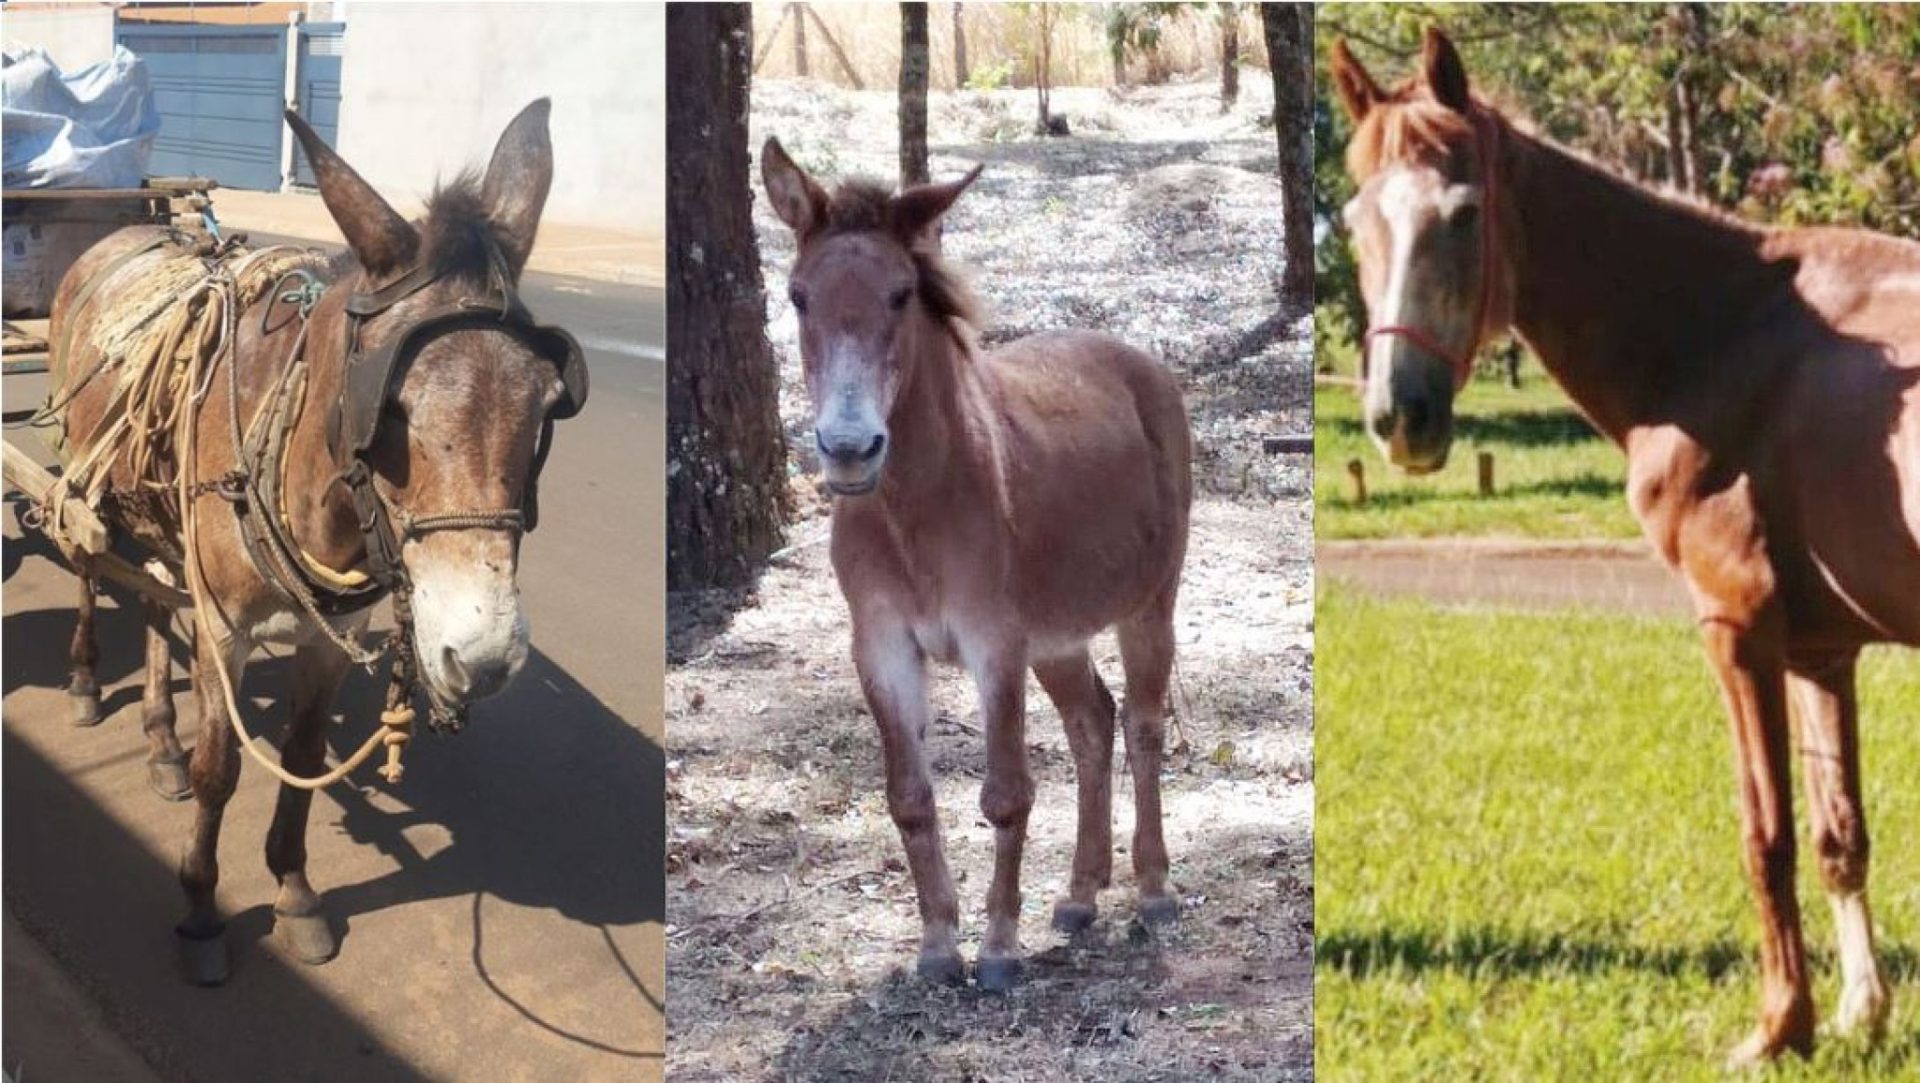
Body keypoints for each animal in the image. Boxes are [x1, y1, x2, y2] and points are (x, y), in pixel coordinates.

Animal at [45, 100, 587, 985]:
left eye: (546, 405)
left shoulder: (334, 635)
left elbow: (299, 758)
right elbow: (221, 768)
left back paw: (159, 735)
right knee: (91, 565)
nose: (483, 657)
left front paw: (294, 893)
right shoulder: (225, 627)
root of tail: (122, 234)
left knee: (157, 596)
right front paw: (202, 906)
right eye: (390, 410)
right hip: (87, 480)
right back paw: (90, 682)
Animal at [759, 139, 1194, 990]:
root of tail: (1146, 367)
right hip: (1057, 634)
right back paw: (1081, 894)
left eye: (901, 294)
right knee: (1092, 723)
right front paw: (937, 945)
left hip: (1147, 604)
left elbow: (1006, 794)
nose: (850, 450)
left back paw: (1152, 891)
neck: (917, 508)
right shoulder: (884, 646)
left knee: (1143, 724)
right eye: (797, 296)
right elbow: (910, 797)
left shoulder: (995, 643)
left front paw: (995, 946)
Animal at [1333, 28, 1920, 1065]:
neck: (1727, 334)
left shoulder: (1739, 630)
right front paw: (1859, 1012)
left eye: (1464, 214)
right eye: (1355, 216)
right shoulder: (1821, 649)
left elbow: (1765, 833)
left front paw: (1779, 1026)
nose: (1400, 415)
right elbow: (1836, 834)